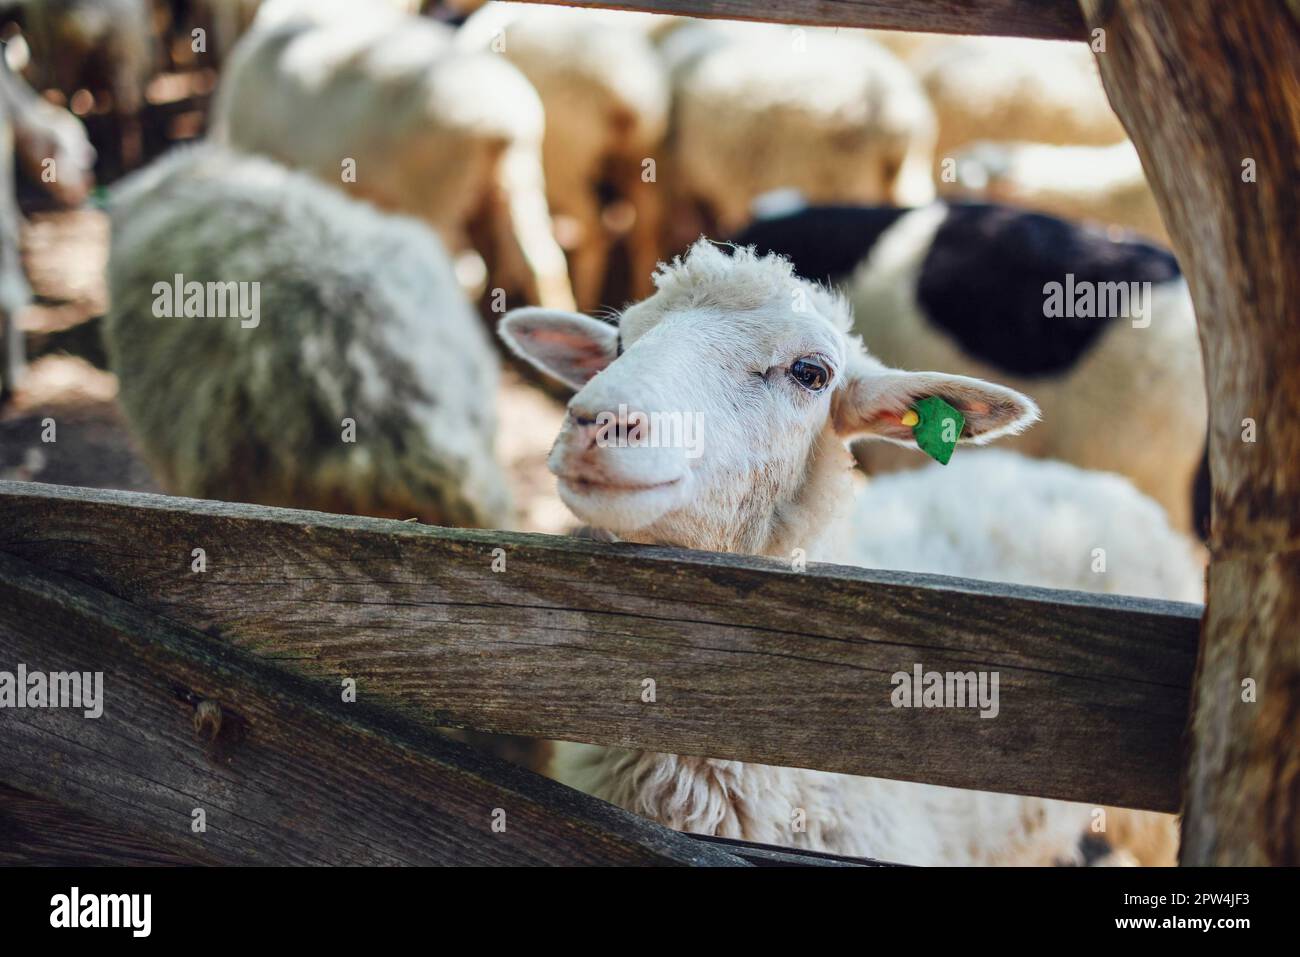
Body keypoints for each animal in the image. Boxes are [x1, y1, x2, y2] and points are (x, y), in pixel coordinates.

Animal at [456, 2, 671, 310]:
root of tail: (622, 96)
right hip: (639, 159)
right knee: (647, 227)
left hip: (563, 168)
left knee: (591, 233)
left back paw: (584, 303)